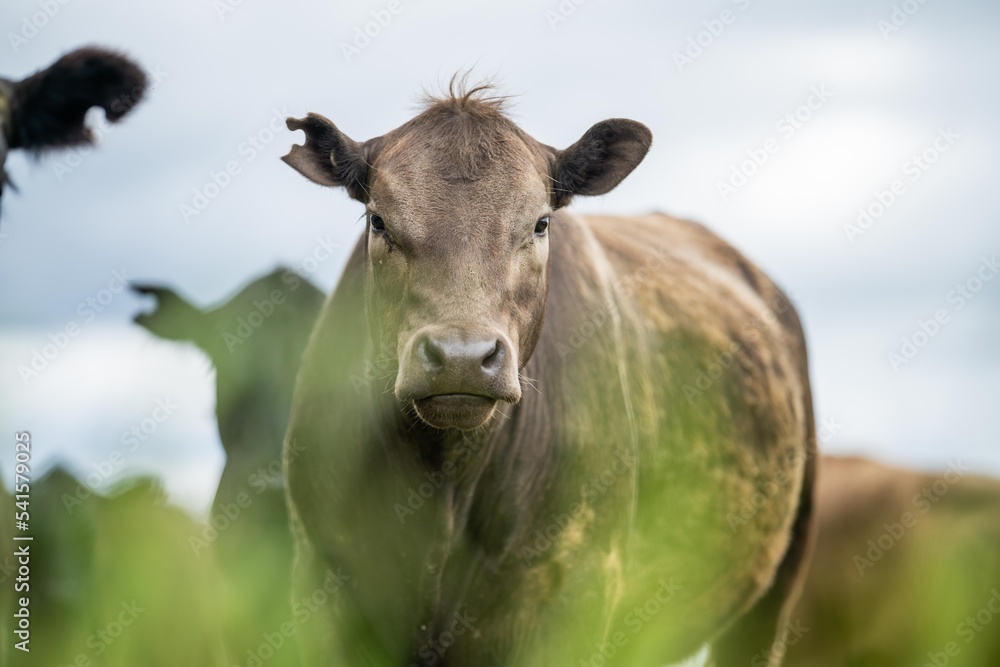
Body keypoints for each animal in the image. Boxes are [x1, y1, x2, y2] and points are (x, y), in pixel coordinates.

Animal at [281, 81, 816, 666]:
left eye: (539, 224)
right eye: (378, 220)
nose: (462, 356)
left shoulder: (574, 588)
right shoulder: (320, 582)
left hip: (774, 588)